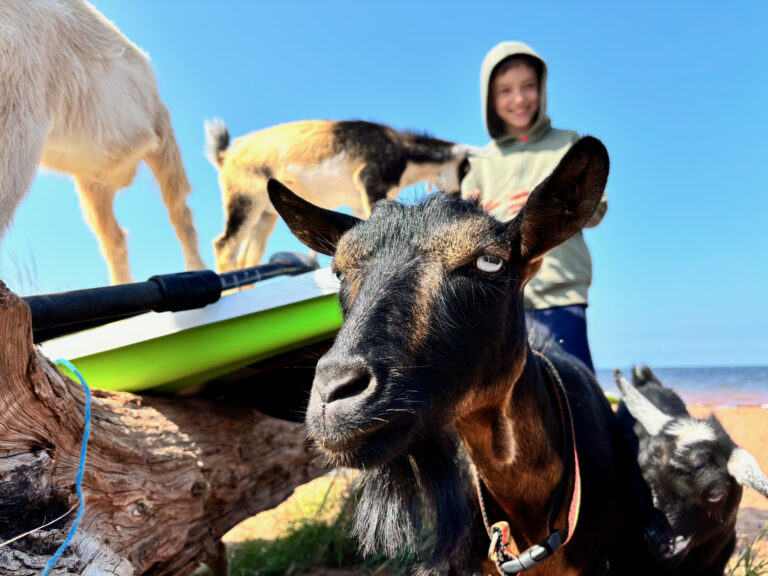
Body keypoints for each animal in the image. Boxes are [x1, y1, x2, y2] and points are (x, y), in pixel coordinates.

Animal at [0, 0, 205, 284]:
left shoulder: (21, 106)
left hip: (164, 133)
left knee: (179, 210)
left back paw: (196, 269)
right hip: (93, 181)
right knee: (113, 237)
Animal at [204, 119, 480, 273]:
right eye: (465, 168)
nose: (459, 197)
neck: (402, 149)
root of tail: (226, 155)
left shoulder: (359, 201)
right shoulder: (372, 180)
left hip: (266, 213)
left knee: (247, 256)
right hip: (245, 199)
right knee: (224, 243)